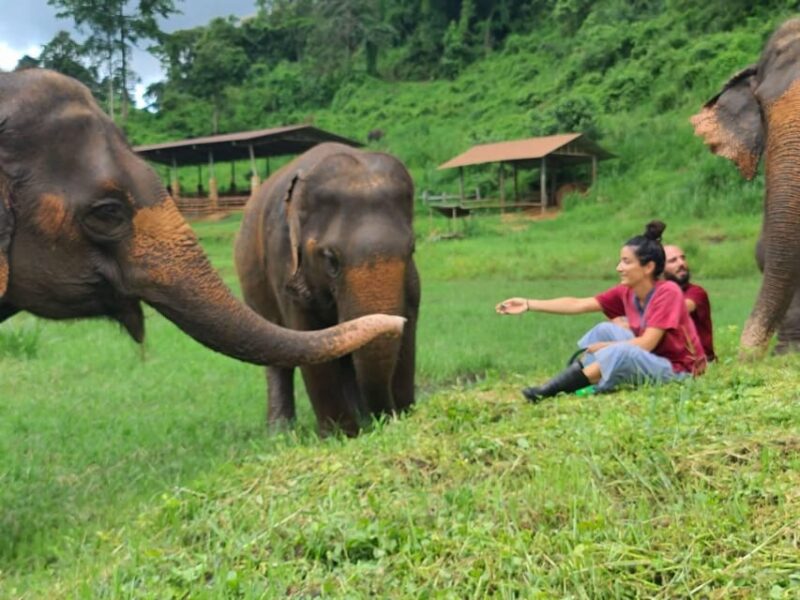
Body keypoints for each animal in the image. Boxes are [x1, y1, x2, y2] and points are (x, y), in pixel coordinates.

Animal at [235, 142, 420, 436]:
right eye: (331, 259)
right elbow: (307, 334)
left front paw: (404, 414)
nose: (387, 417)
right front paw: (341, 435)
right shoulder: (283, 262)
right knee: (277, 362)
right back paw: (280, 433)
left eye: (412, 248)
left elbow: (408, 325)